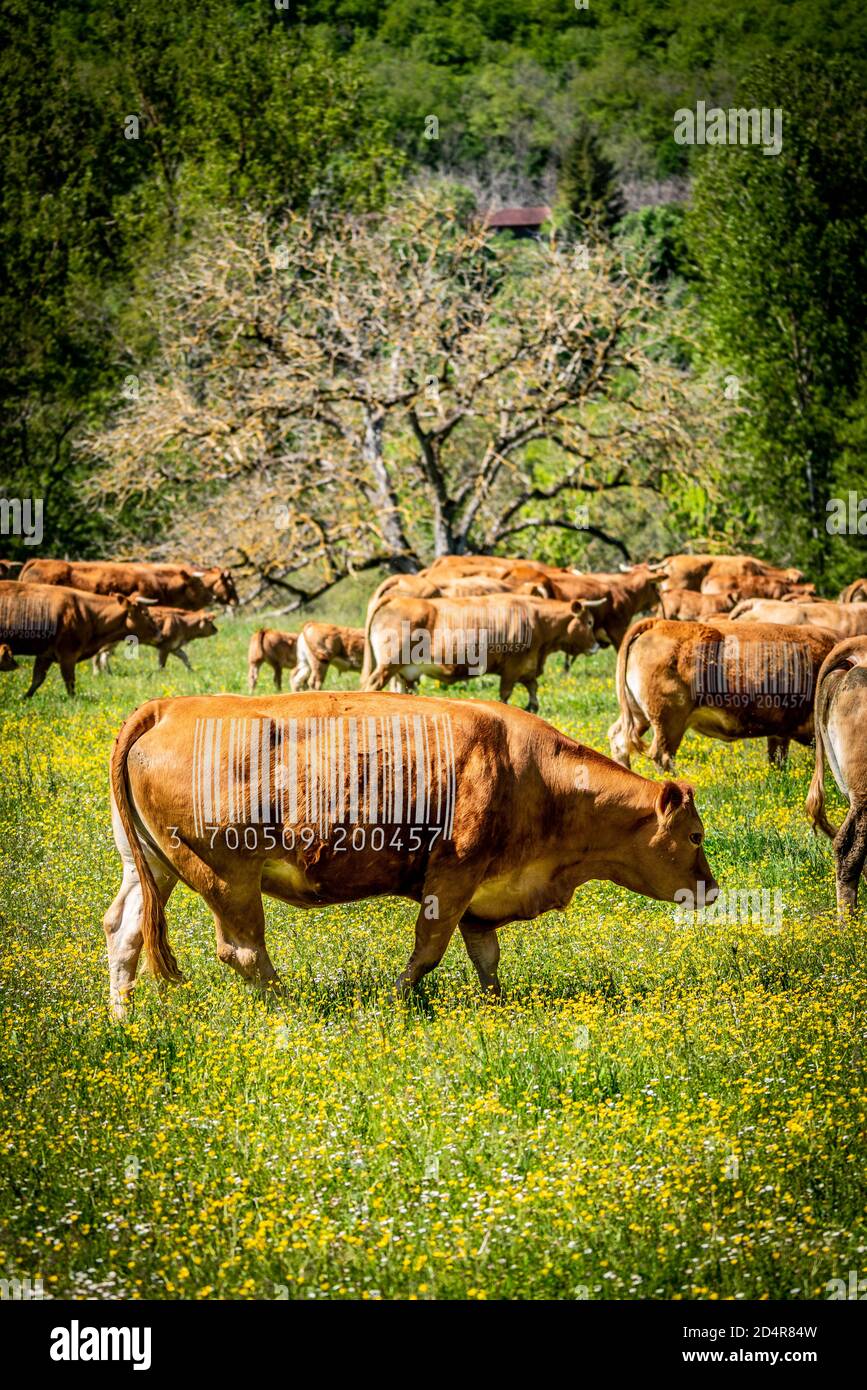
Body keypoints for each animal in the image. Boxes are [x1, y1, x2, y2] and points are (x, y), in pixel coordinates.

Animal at [0, 580, 159, 696]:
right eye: (146, 613)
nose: (159, 633)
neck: (88, 613)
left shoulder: (45, 654)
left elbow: (37, 679)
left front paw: (24, 698)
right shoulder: (68, 654)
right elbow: (70, 682)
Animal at [103, 690, 718, 1017]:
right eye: (696, 835)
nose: (712, 890)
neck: (534, 774)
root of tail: (169, 707)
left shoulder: (481, 892)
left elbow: (486, 956)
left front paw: (499, 1005)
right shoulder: (452, 878)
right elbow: (429, 950)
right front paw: (397, 1001)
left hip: (150, 865)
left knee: (123, 929)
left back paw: (123, 1015)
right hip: (228, 877)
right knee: (243, 951)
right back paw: (294, 1007)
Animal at [363, 594, 601, 710]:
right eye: (589, 622)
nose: (596, 646)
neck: (537, 619)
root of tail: (396, 598)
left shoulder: (528, 666)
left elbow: (533, 687)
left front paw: (533, 706)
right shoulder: (513, 666)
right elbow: (505, 693)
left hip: (402, 672)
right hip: (388, 665)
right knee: (371, 685)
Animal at [607, 617, 837, 771]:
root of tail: (659, 623)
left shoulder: (779, 730)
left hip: (639, 715)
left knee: (619, 740)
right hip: (668, 721)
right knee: (662, 755)